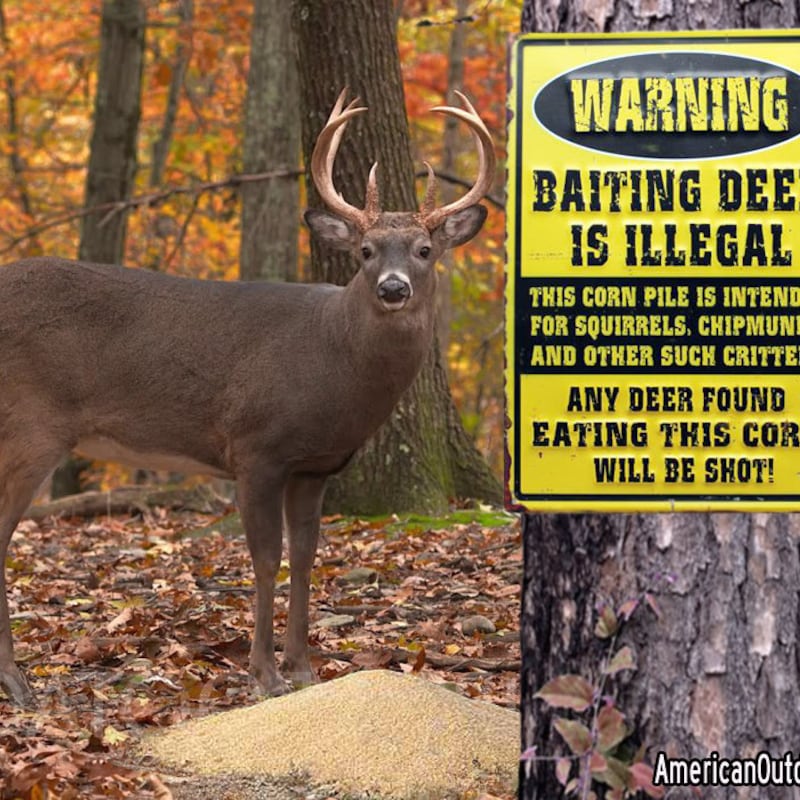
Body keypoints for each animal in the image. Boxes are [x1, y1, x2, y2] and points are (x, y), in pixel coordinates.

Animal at [0, 89, 495, 707]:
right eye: (365, 250)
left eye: (426, 249)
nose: (393, 288)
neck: (334, 359)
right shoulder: (257, 449)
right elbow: (265, 558)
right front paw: (265, 673)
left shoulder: (315, 466)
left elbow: (307, 557)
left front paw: (304, 668)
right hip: (32, 426)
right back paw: (16, 681)